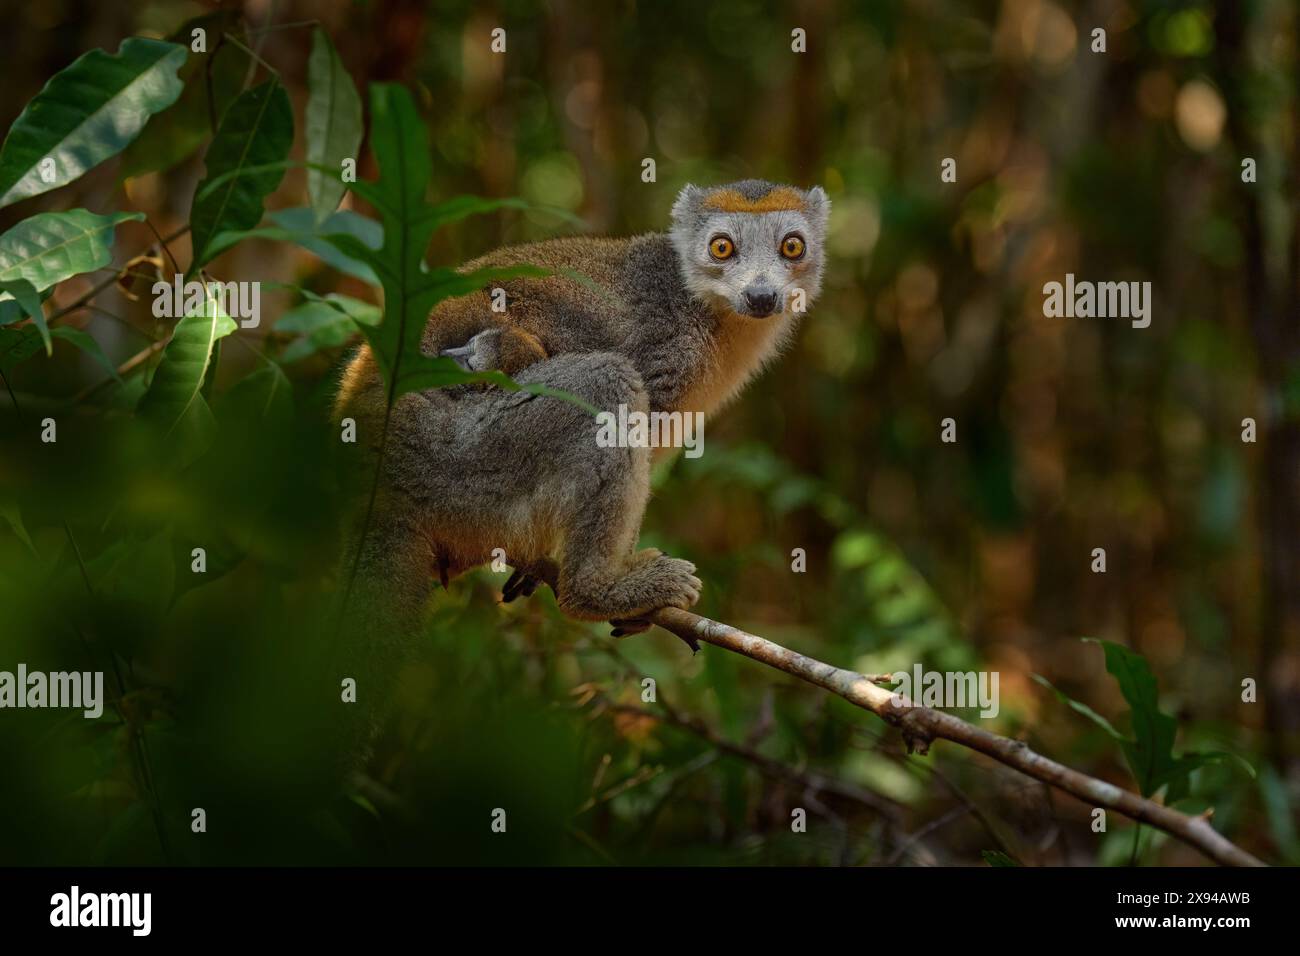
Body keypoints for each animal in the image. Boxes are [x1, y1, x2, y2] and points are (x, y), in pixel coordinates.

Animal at [331, 180, 829, 750]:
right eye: (722, 248)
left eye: (792, 247)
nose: (762, 296)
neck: (711, 312)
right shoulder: (669, 346)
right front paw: (623, 585)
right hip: (457, 453)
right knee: (604, 381)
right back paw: (592, 589)